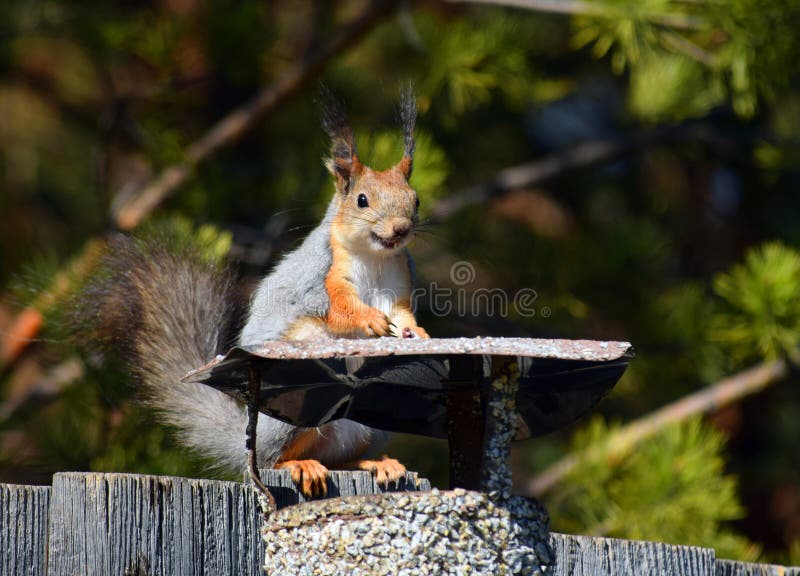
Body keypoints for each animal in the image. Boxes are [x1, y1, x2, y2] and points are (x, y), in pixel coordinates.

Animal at [84, 90, 428, 499]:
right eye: (362, 200)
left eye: (415, 199)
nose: (402, 229)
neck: (374, 257)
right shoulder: (320, 279)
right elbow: (335, 311)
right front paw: (370, 320)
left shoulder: (399, 284)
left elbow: (404, 315)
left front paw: (418, 333)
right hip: (292, 412)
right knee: (271, 461)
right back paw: (299, 465)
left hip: (371, 423)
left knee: (341, 459)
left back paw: (378, 463)